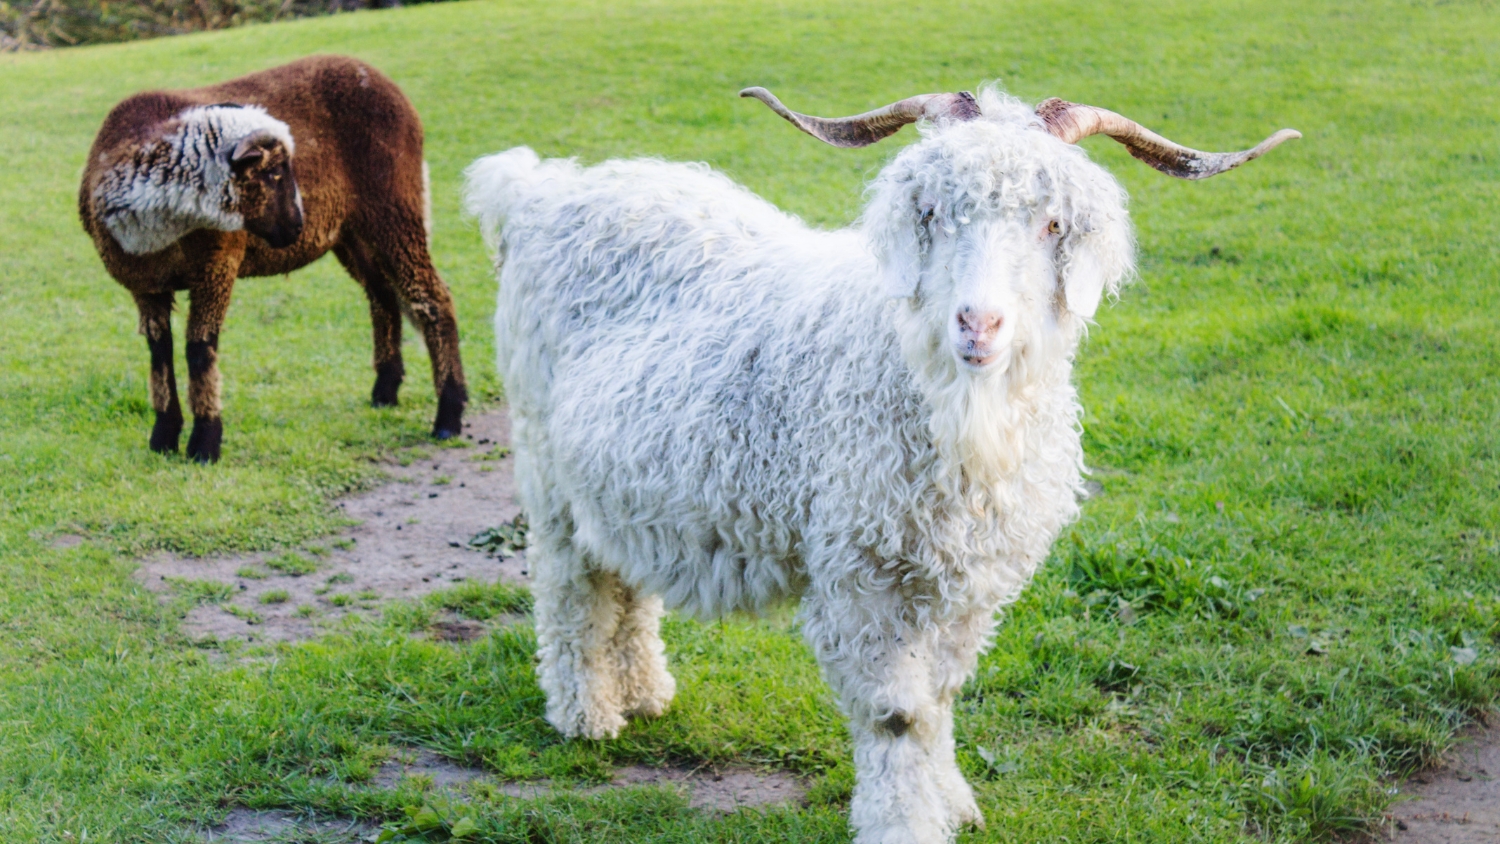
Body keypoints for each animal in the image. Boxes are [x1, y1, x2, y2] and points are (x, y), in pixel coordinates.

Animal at [79, 55, 468, 463]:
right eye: (275, 172)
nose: (297, 226)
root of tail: (384, 82)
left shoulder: (216, 266)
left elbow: (199, 349)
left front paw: (205, 444)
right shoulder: (146, 286)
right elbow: (159, 354)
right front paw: (163, 439)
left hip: (394, 205)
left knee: (433, 297)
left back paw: (448, 416)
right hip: (351, 232)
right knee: (383, 296)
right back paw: (385, 393)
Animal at [465, 86, 1297, 843]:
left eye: (1051, 222)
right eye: (930, 213)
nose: (978, 323)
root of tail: (542, 189)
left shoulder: (969, 579)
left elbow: (943, 698)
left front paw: (953, 802)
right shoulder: (860, 572)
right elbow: (899, 714)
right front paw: (904, 824)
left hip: (627, 481)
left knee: (623, 581)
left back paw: (645, 694)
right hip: (543, 464)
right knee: (569, 588)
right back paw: (586, 715)